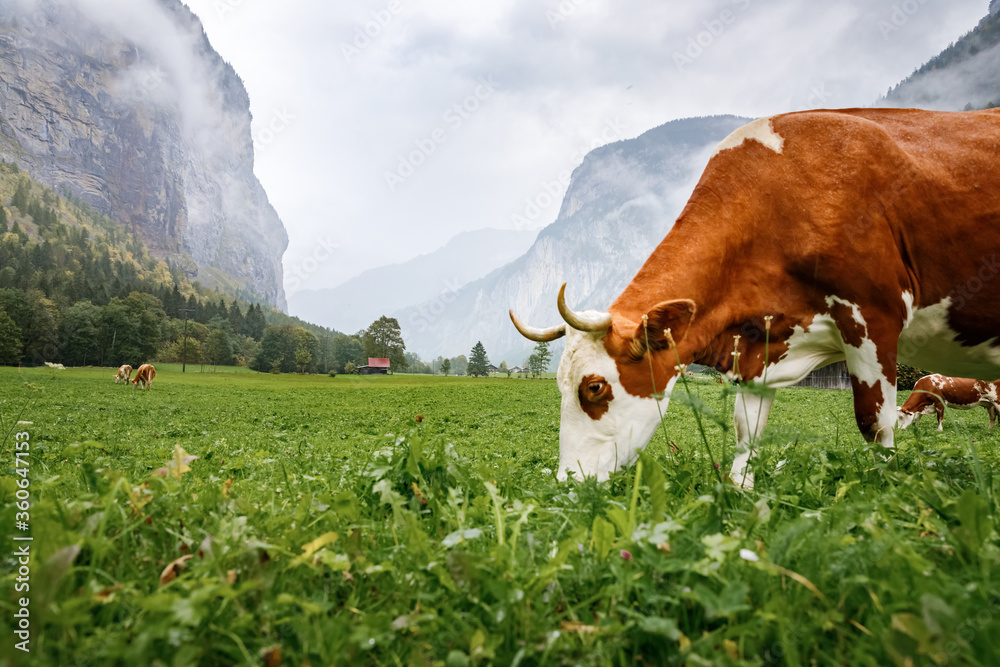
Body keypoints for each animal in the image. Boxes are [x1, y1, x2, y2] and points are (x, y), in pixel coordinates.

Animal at [510, 108, 1000, 488]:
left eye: (594, 387)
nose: (568, 482)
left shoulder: (873, 314)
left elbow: (875, 423)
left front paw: (886, 491)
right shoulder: (760, 347)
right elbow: (747, 429)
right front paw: (740, 491)